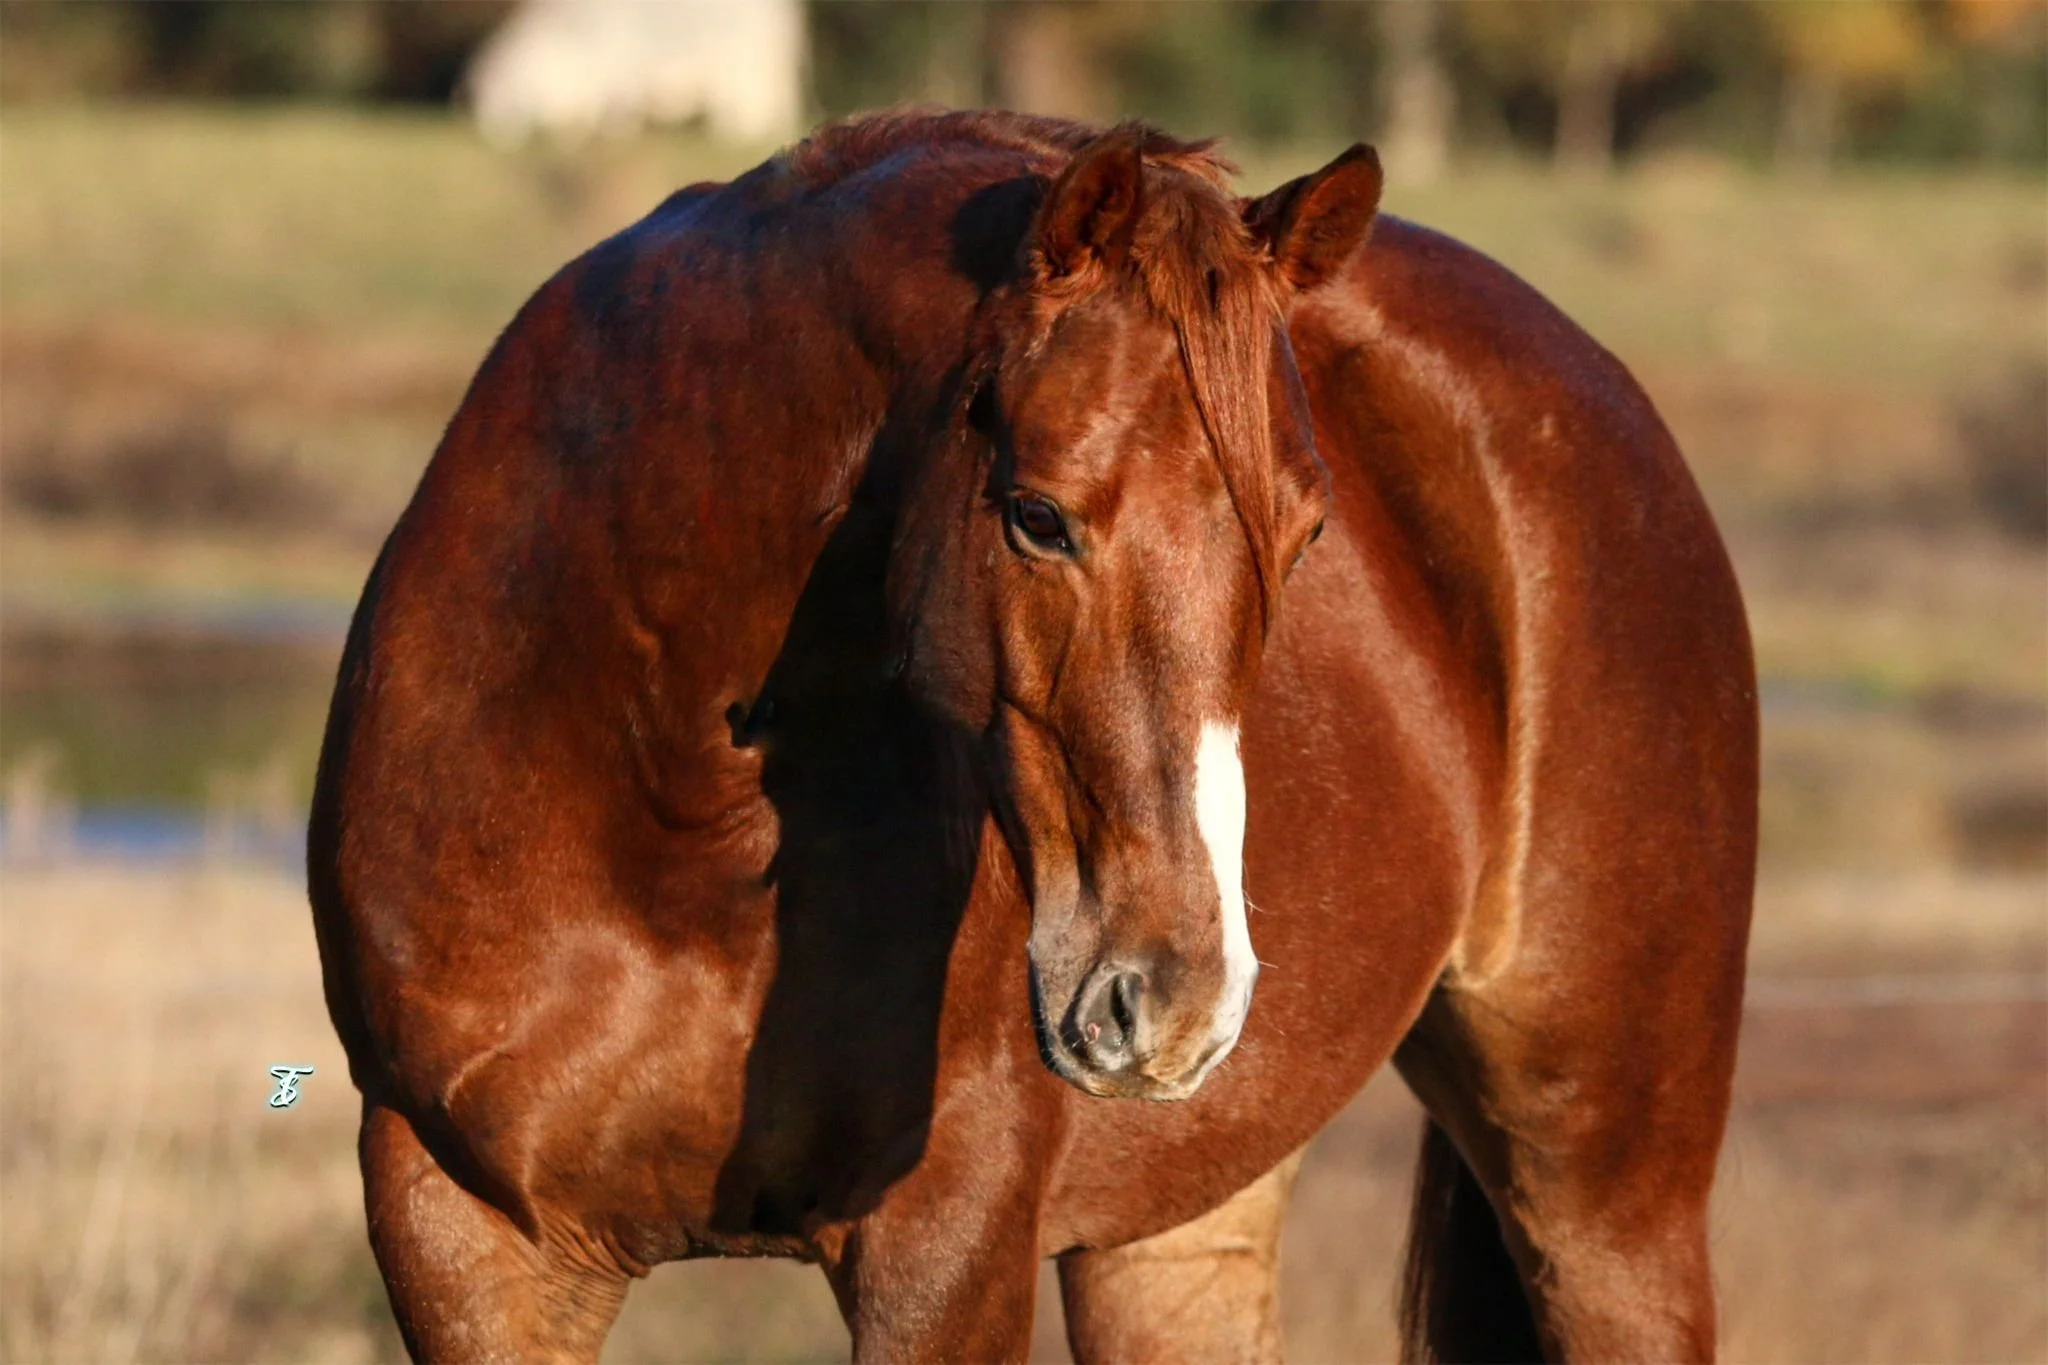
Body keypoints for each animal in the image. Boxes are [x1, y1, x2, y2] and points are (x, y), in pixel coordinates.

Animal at [308, 109, 1756, 1363]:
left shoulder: (946, 1250)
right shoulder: (464, 1236)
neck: (653, 782)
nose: (1176, 993)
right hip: (1180, 1233)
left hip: (1603, 1206)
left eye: (1306, 532)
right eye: (1037, 515)